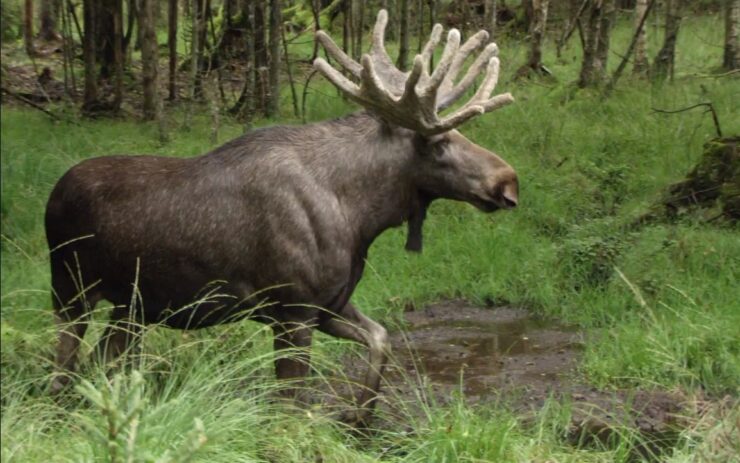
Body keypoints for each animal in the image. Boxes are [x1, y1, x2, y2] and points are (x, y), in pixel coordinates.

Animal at [45, 9, 517, 424]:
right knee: (63, 369)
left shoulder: (329, 302)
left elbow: (381, 339)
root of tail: (52, 196)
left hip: (131, 305)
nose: (508, 181)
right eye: (438, 142)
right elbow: (290, 407)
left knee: (102, 362)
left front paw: (359, 417)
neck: (360, 217)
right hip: (70, 290)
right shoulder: (294, 308)